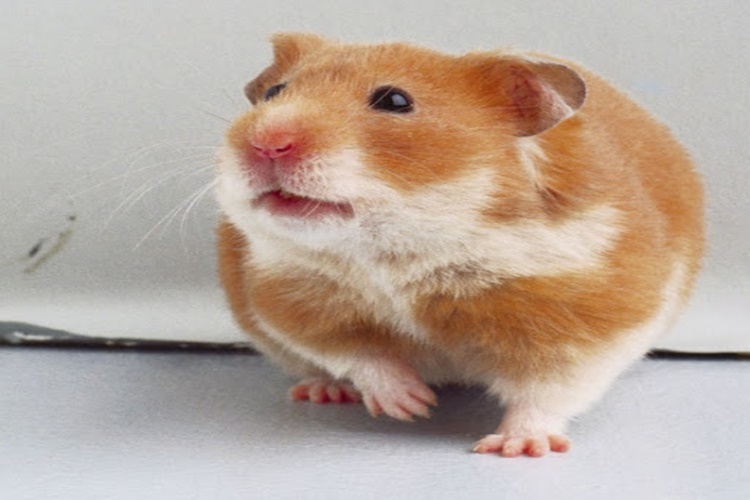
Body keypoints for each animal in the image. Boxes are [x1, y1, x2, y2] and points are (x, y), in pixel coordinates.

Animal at [215, 33, 704, 457]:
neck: (402, 248)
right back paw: (324, 392)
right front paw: (412, 404)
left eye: (395, 101)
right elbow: (359, 353)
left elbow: (547, 392)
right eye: (274, 92)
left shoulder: (586, 321)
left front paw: (515, 447)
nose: (266, 143)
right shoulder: (289, 300)